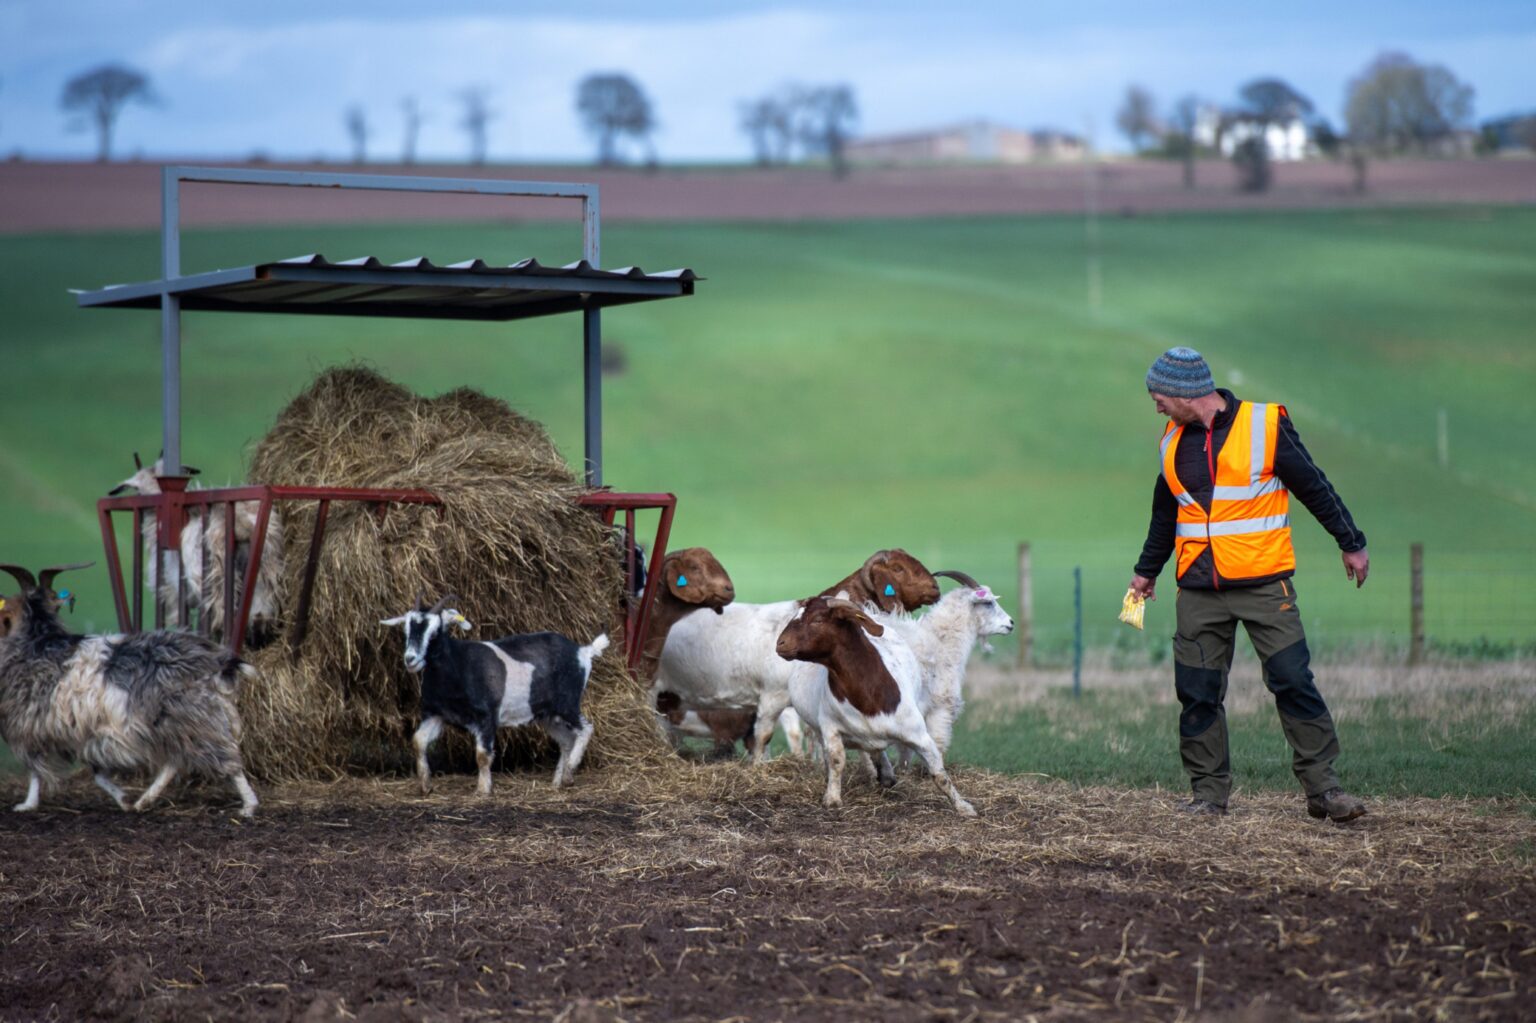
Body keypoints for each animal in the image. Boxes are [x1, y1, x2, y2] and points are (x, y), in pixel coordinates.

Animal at [0, 562, 259, 817]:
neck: (36, 642)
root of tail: (217, 661)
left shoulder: (29, 728)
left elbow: (36, 771)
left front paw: (27, 804)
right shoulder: (83, 733)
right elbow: (97, 774)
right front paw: (123, 798)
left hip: (195, 718)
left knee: (225, 760)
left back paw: (248, 805)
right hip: (180, 721)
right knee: (175, 761)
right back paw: (144, 800)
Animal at [381, 594, 607, 794]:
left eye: (435, 631)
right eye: (406, 629)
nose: (410, 659)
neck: (458, 664)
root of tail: (584, 651)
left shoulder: (487, 716)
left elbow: (482, 755)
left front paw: (483, 790)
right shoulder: (437, 714)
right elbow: (418, 741)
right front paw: (426, 786)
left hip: (568, 704)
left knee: (586, 729)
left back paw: (568, 775)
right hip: (547, 715)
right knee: (567, 740)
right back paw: (558, 781)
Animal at [776, 596, 976, 816]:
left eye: (817, 619)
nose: (780, 644)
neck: (868, 695)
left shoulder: (918, 735)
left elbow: (939, 773)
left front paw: (963, 807)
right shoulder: (830, 727)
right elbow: (836, 761)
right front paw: (832, 798)